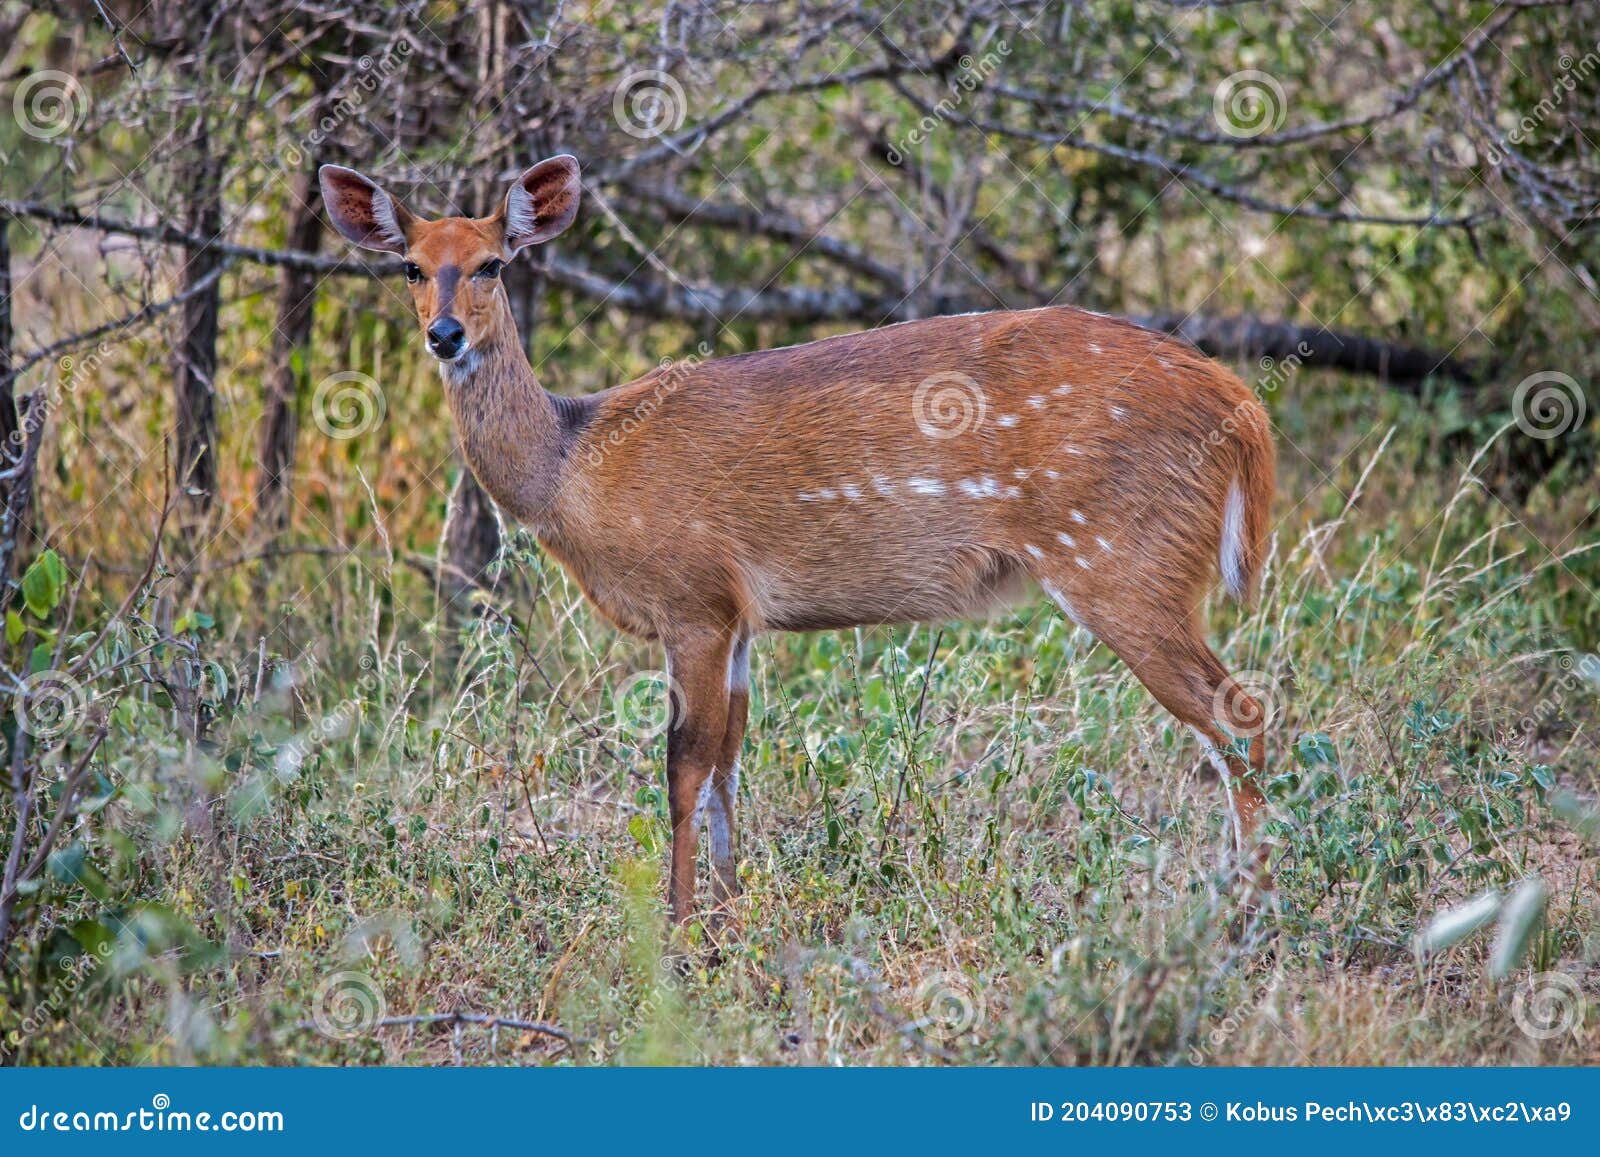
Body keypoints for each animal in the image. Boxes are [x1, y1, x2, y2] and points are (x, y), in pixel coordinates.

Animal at [320, 155, 1278, 926]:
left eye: (491, 263)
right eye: (411, 266)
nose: (444, 334)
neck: (575, 468)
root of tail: (1241, 405)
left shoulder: (693, 599)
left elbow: (683, 762)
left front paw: (678, 928)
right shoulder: (740, 617)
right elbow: (730, 758)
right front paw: (730, 908)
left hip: (1123, 559)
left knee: (1240, 711)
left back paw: (1249, 909)